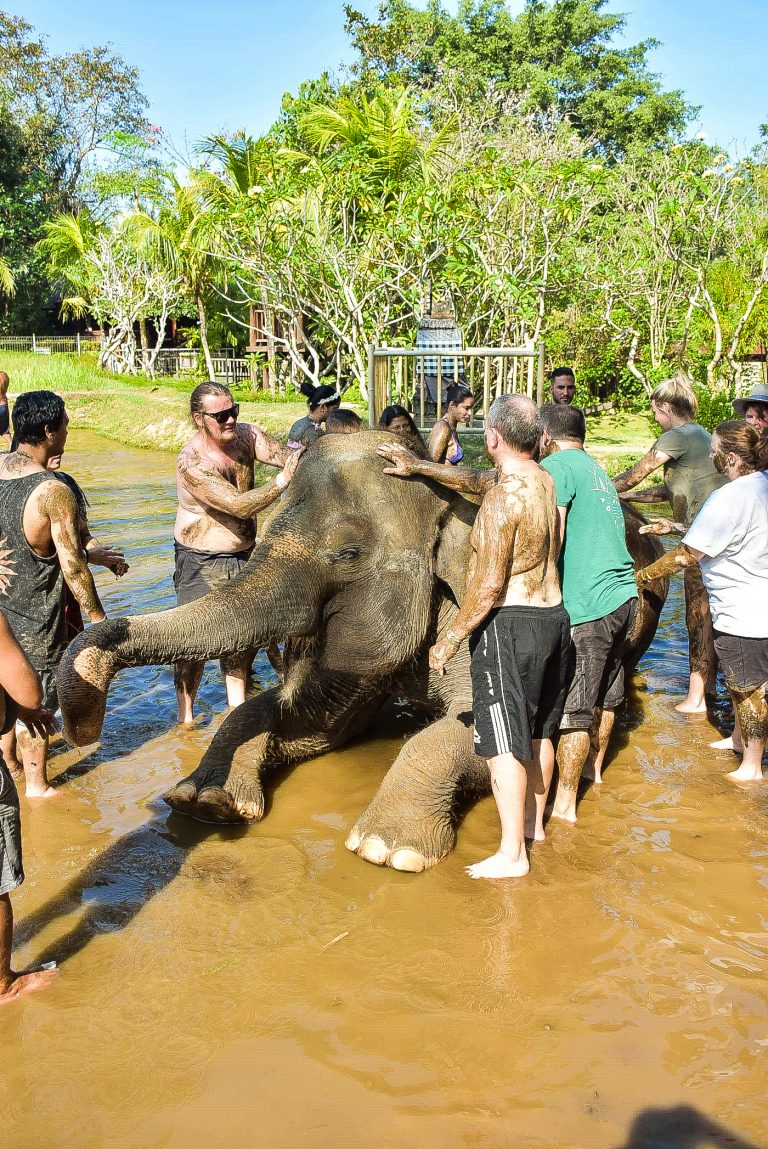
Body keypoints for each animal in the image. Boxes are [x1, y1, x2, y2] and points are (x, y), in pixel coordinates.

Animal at [58, 432, 668, 872]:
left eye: (348, 554)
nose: (84, 727)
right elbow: (321, 722)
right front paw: (203, 800)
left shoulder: (481, 620)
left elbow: (490, 735)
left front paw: (387, 849)